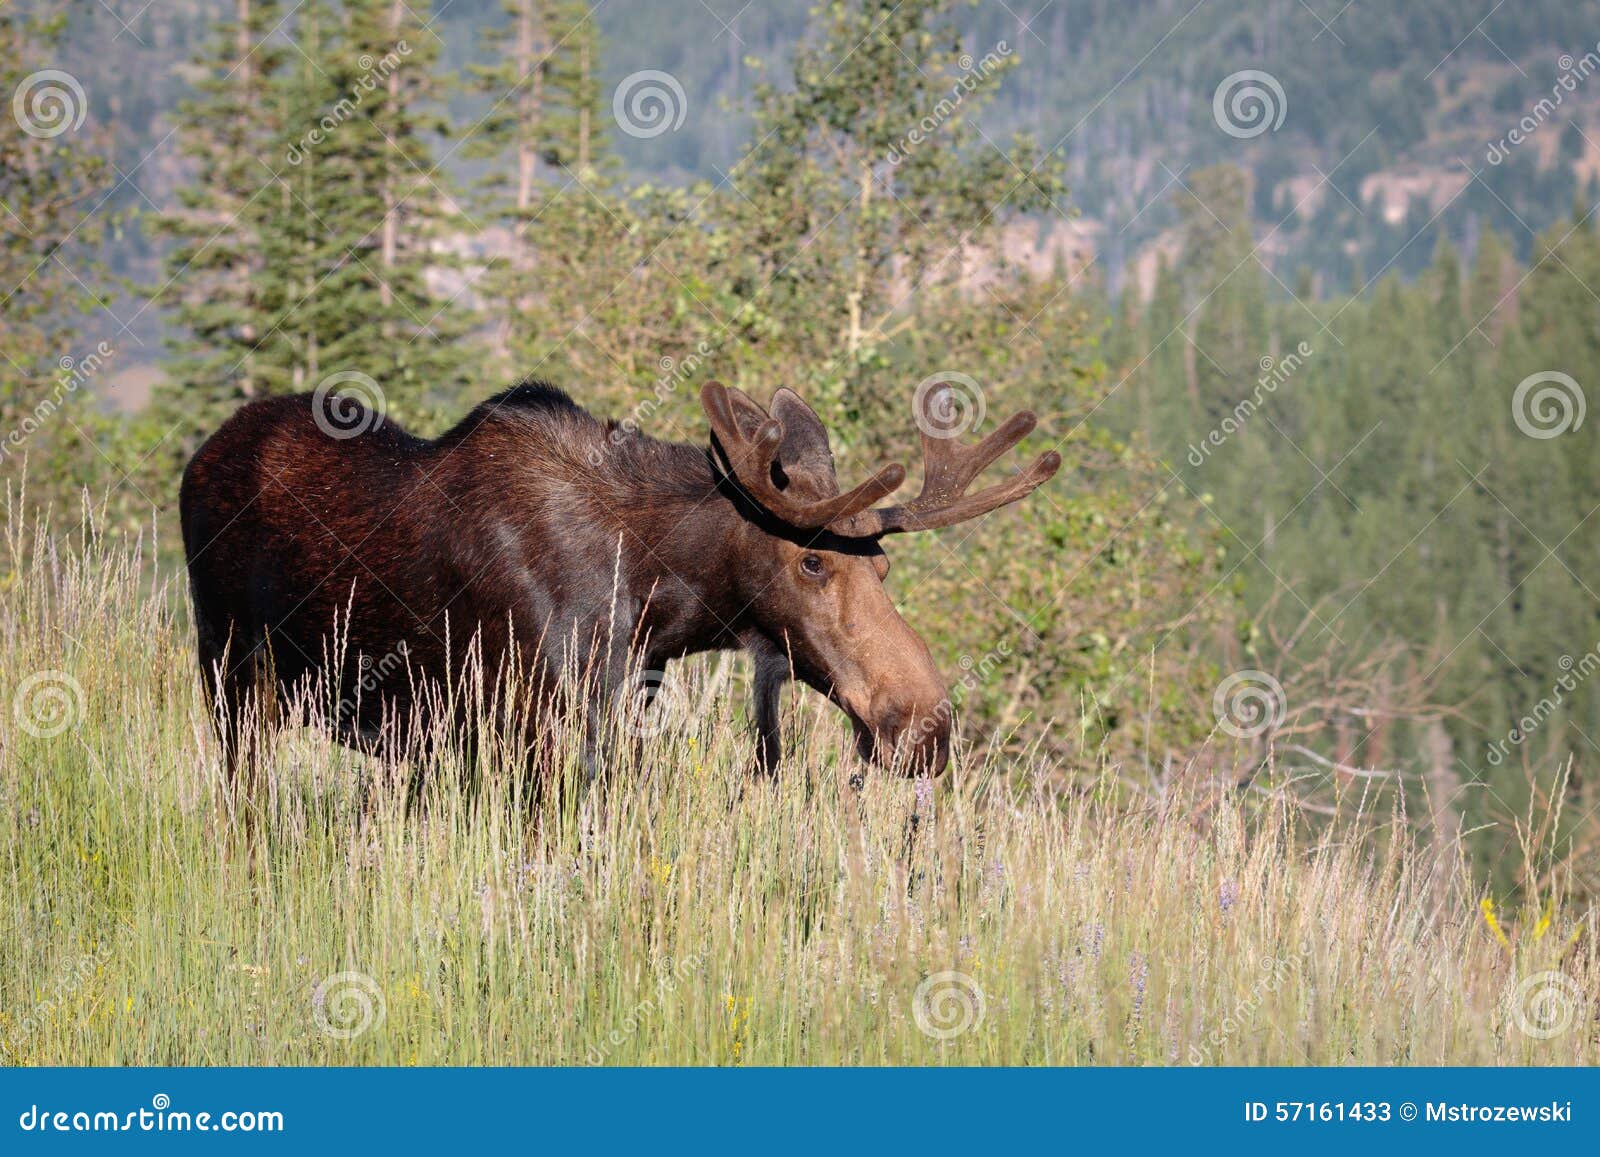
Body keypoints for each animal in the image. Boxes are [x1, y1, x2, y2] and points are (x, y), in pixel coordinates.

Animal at [178, 378, 1060, 801]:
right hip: (229, 669)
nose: (927, 724)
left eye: (884, 567)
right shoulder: (533, 724)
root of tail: (196, 458)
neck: (654, 602)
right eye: (814, 564)